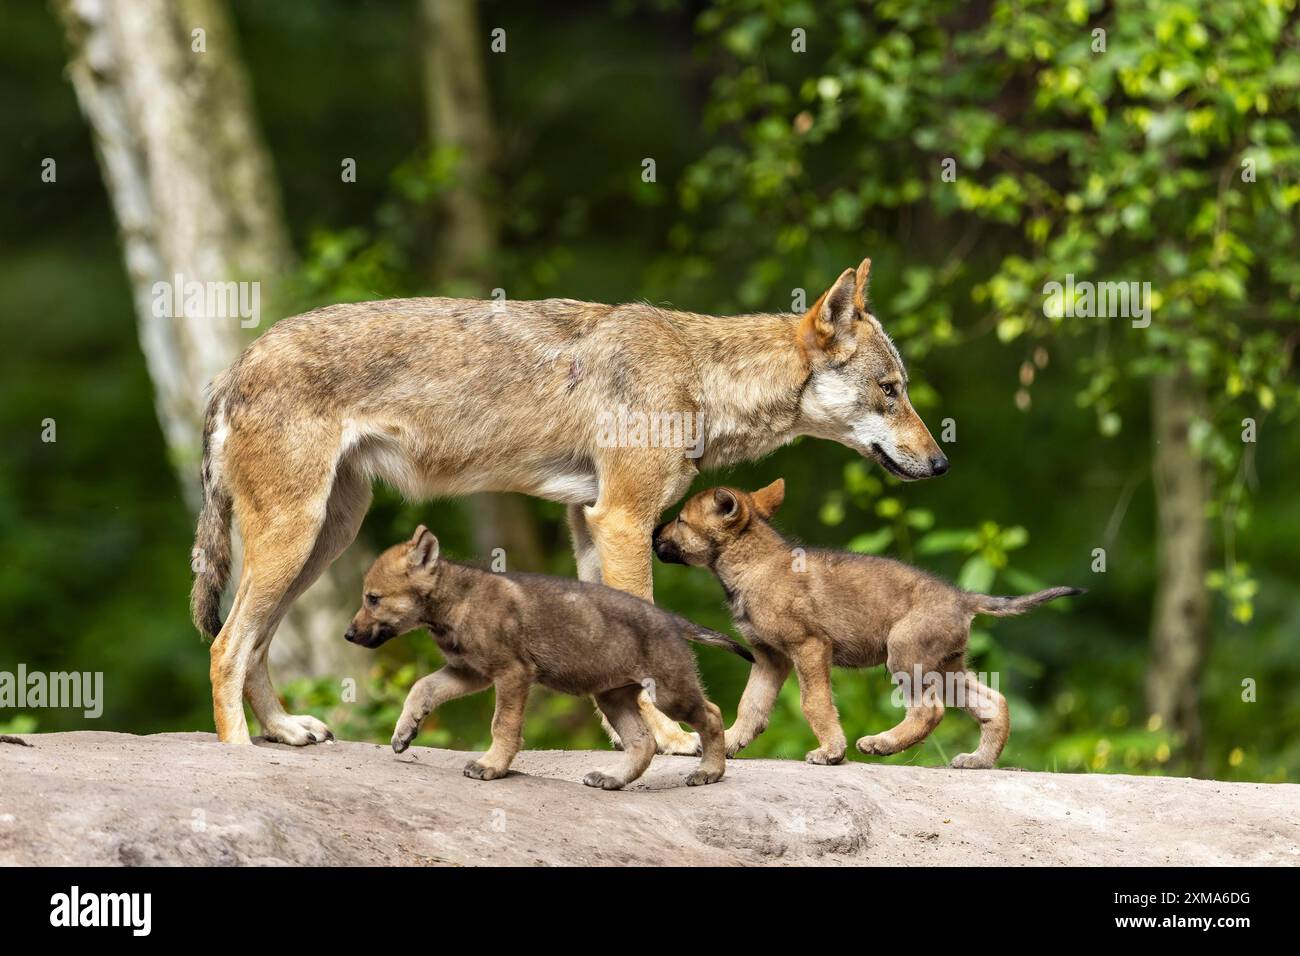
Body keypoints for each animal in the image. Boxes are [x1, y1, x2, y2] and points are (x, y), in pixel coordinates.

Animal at [190, 257, 946, 747]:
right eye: (891, 390)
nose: (941, 462)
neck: (701, 378)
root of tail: (234, 366)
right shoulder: (624, 521)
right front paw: (671, 739)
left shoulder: (589, 524)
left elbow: (615, 657)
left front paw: (632, 741)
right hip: (297, 537)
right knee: (227, 644)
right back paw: (241, 753)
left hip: (326, 537)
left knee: (254, 644)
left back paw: (285, 731)